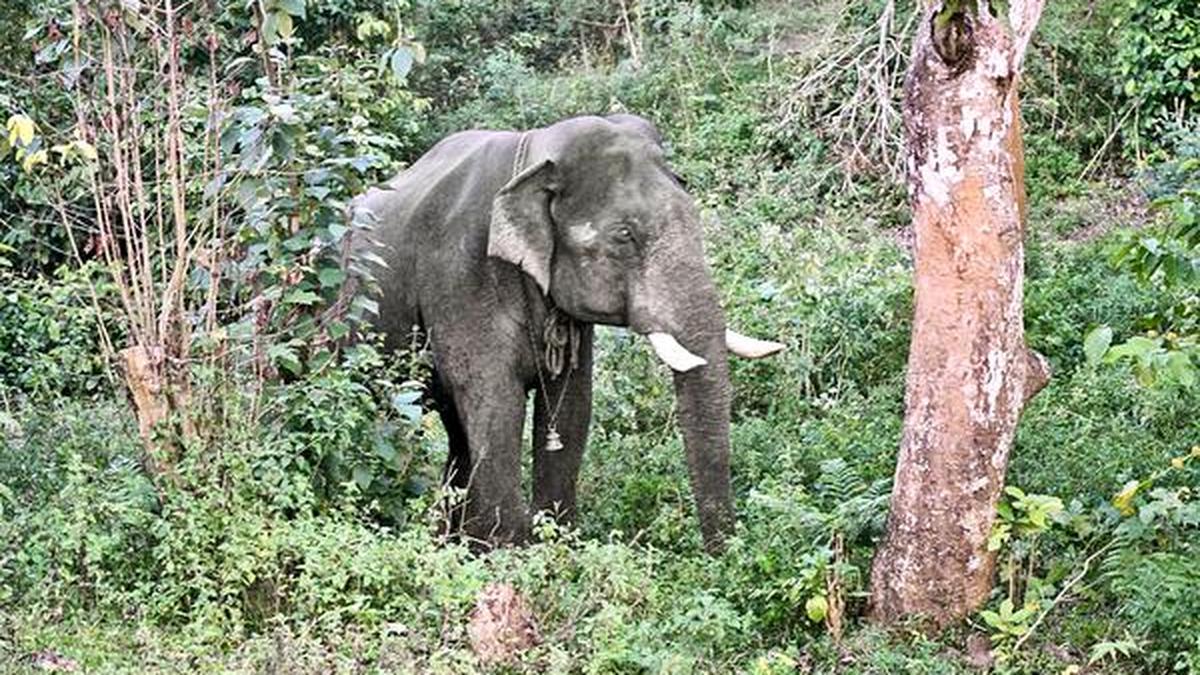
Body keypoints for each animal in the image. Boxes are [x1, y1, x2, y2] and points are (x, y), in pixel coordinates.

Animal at [351, 114, 782, 551]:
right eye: (624, 235)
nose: (723, 554)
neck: (533, 152)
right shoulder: (459, 277)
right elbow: (496, 401)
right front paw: (512, 551)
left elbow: (572, 404)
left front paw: (556, 543)